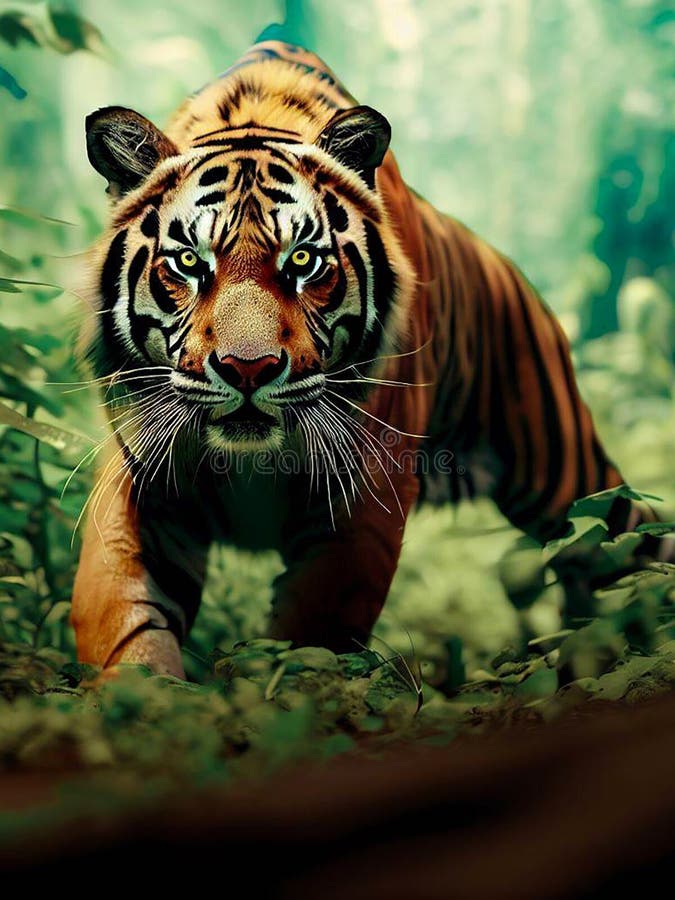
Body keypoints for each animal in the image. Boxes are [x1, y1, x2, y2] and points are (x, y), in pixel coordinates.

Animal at [71, 39, 658, 677]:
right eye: (188, 262)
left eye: (302, 261)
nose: (247, 369)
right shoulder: (142, 485)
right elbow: (127, 626)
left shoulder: (363, 497)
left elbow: (310, 639)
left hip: (565, 478)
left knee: (626, 539)